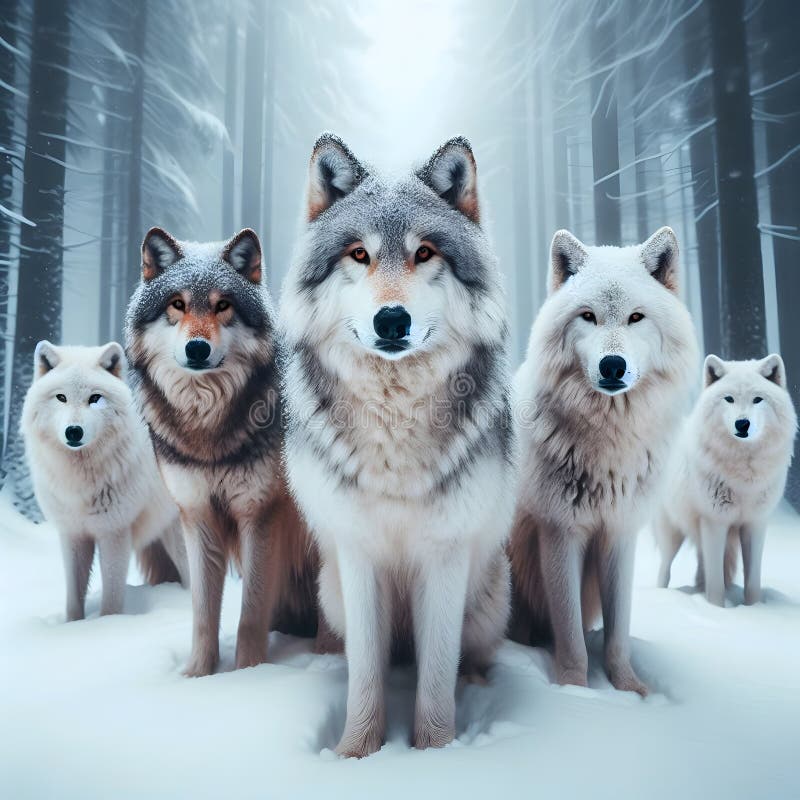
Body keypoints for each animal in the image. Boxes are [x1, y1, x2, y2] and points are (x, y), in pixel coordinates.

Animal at [21, 341, 188, 620]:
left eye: (95, 398)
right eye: (61, 397)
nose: (73, 431)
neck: (80, 480)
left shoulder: (114, 532)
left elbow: (111, 595)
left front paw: (108, 624)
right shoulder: (73, 534)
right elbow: (73, 597)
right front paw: (74, 625)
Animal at [125, 227, 320, 677]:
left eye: (223, 305)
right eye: (177, 304)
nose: (197, 348)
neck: (207, 427)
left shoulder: (259, 515)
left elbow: (250, 613)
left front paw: (246, 675)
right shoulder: (197, 516)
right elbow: (202, 612)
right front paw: (198, 677)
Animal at [280, 134, 514, 757]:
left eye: (425, 253)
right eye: (359, 255)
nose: (391, 320)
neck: (394, 422)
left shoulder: (446, 555)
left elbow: (435, 675)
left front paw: (434, 751)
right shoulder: (358, 555)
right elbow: (366, 673)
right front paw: (356, 752)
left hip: (488, 597)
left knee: (465, 655)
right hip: (331, 590)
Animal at [508, 227, 698, 695]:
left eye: (636, 317)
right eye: (588, 316)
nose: (613, 365)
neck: (608, 447)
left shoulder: (620, 533)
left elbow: (617, 633)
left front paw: (629, 689)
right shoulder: (559, 532)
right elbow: (571, 635)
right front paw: (576, 692)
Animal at [655, 354, 797, 606]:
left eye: (757, 399)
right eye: (729, 399)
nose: (742, 424)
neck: (745, 474)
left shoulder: (755, 524)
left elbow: (752, 581)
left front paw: (753, 608)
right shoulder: (714, 522)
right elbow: (716, 584)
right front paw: (716, 609)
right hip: (672, 532)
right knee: (665, 568)